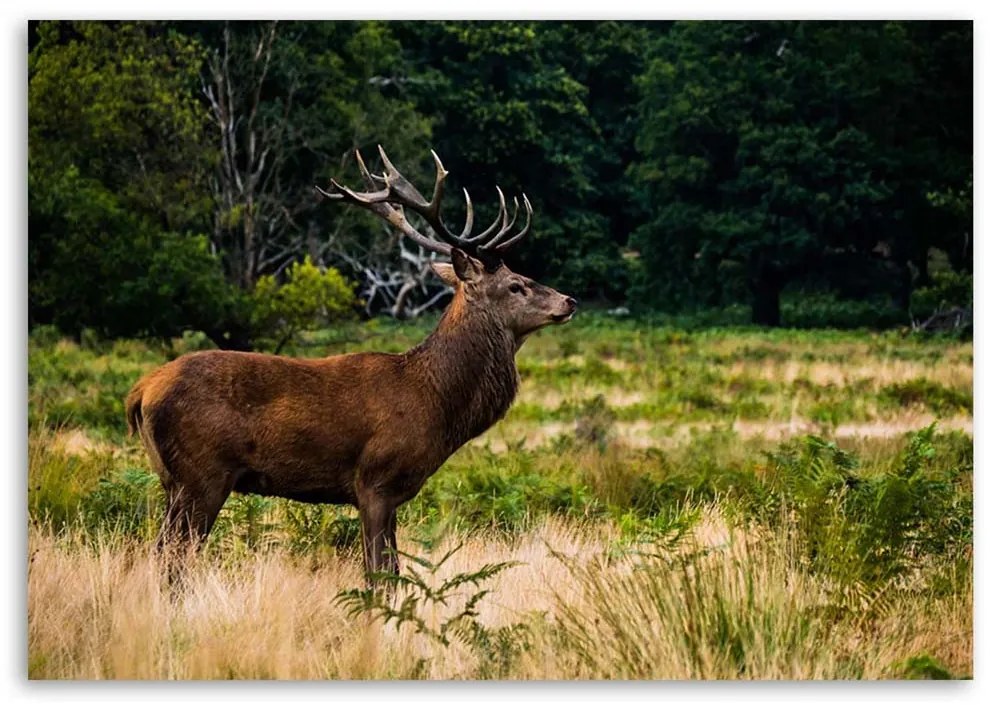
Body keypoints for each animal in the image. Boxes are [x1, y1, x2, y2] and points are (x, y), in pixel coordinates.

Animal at [128, 147, 580, 580]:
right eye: (516, 285)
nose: (569, 300)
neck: (435, 402)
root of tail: (141, 391)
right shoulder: (375, 480)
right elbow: (379, 572)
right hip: (202, 474)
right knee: (173, 560)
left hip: (173, 481)